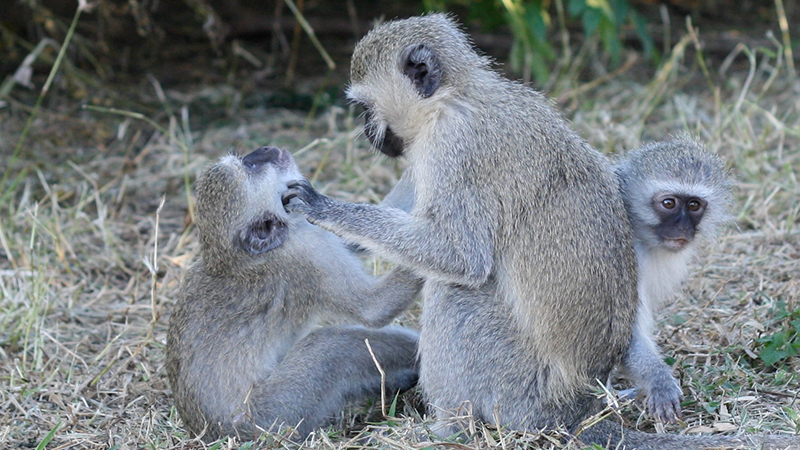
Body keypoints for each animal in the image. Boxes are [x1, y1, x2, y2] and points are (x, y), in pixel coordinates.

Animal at [166, 146, 423, 442]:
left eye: (245, 160)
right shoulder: (309, 256)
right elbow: (373, 308)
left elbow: (352, 238)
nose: (267, 149)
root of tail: (210, 433)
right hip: (274, 415)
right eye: (251, 167)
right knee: (333, 346)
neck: (237, 259)